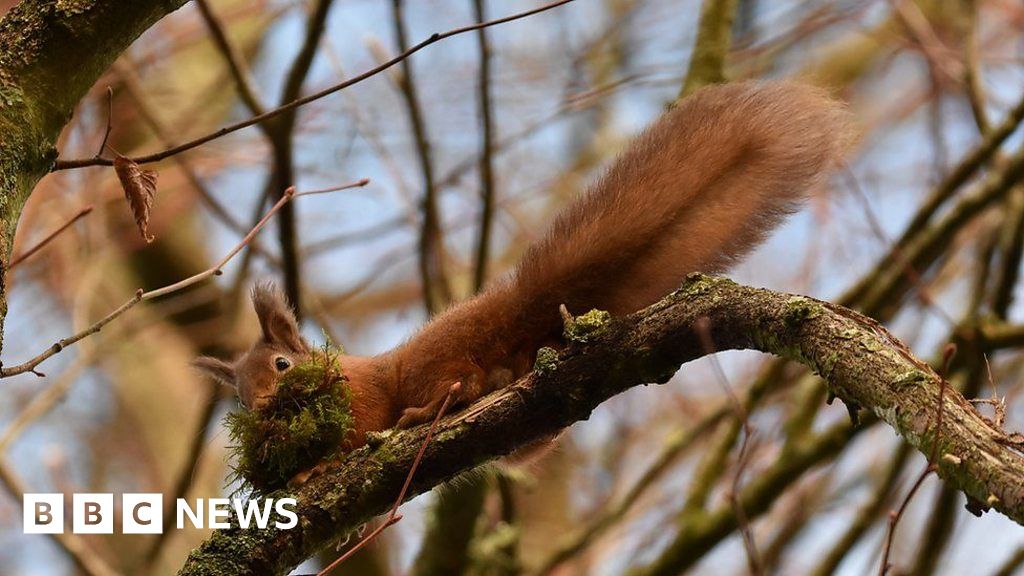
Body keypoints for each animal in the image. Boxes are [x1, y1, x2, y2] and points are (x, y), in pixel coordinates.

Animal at [194, 80, 852, 450]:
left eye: (282, 365)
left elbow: (350, 432)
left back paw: (429, 409)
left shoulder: (357, 399)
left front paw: (312, 467)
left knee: (453, 384)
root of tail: (512, 312)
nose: (262, 410)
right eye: (239, 396)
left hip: (436, 363)